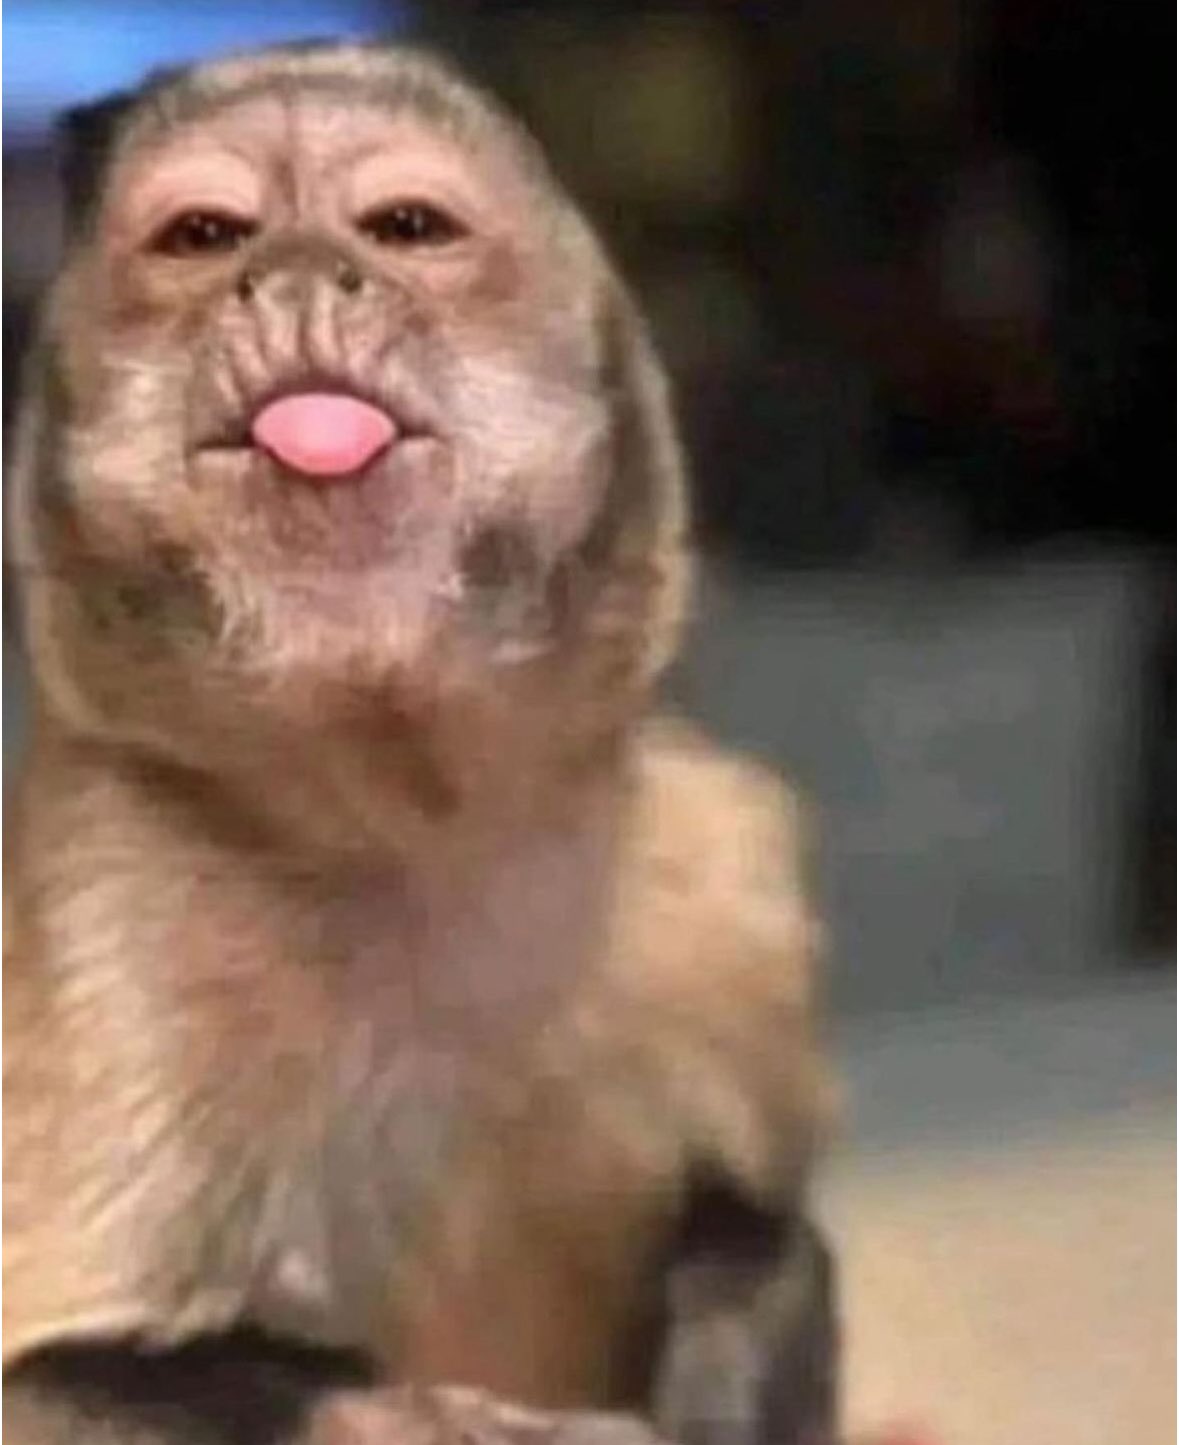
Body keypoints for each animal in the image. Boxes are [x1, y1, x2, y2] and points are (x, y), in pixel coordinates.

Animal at [3, 40, 838, 1445]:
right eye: (205, 237)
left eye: (403, 227)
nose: (289, 274)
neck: (398, 811)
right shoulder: (104, 937)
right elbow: (49, 1380)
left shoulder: (717, 870)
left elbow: (764, 1230)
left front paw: (719, 1360)